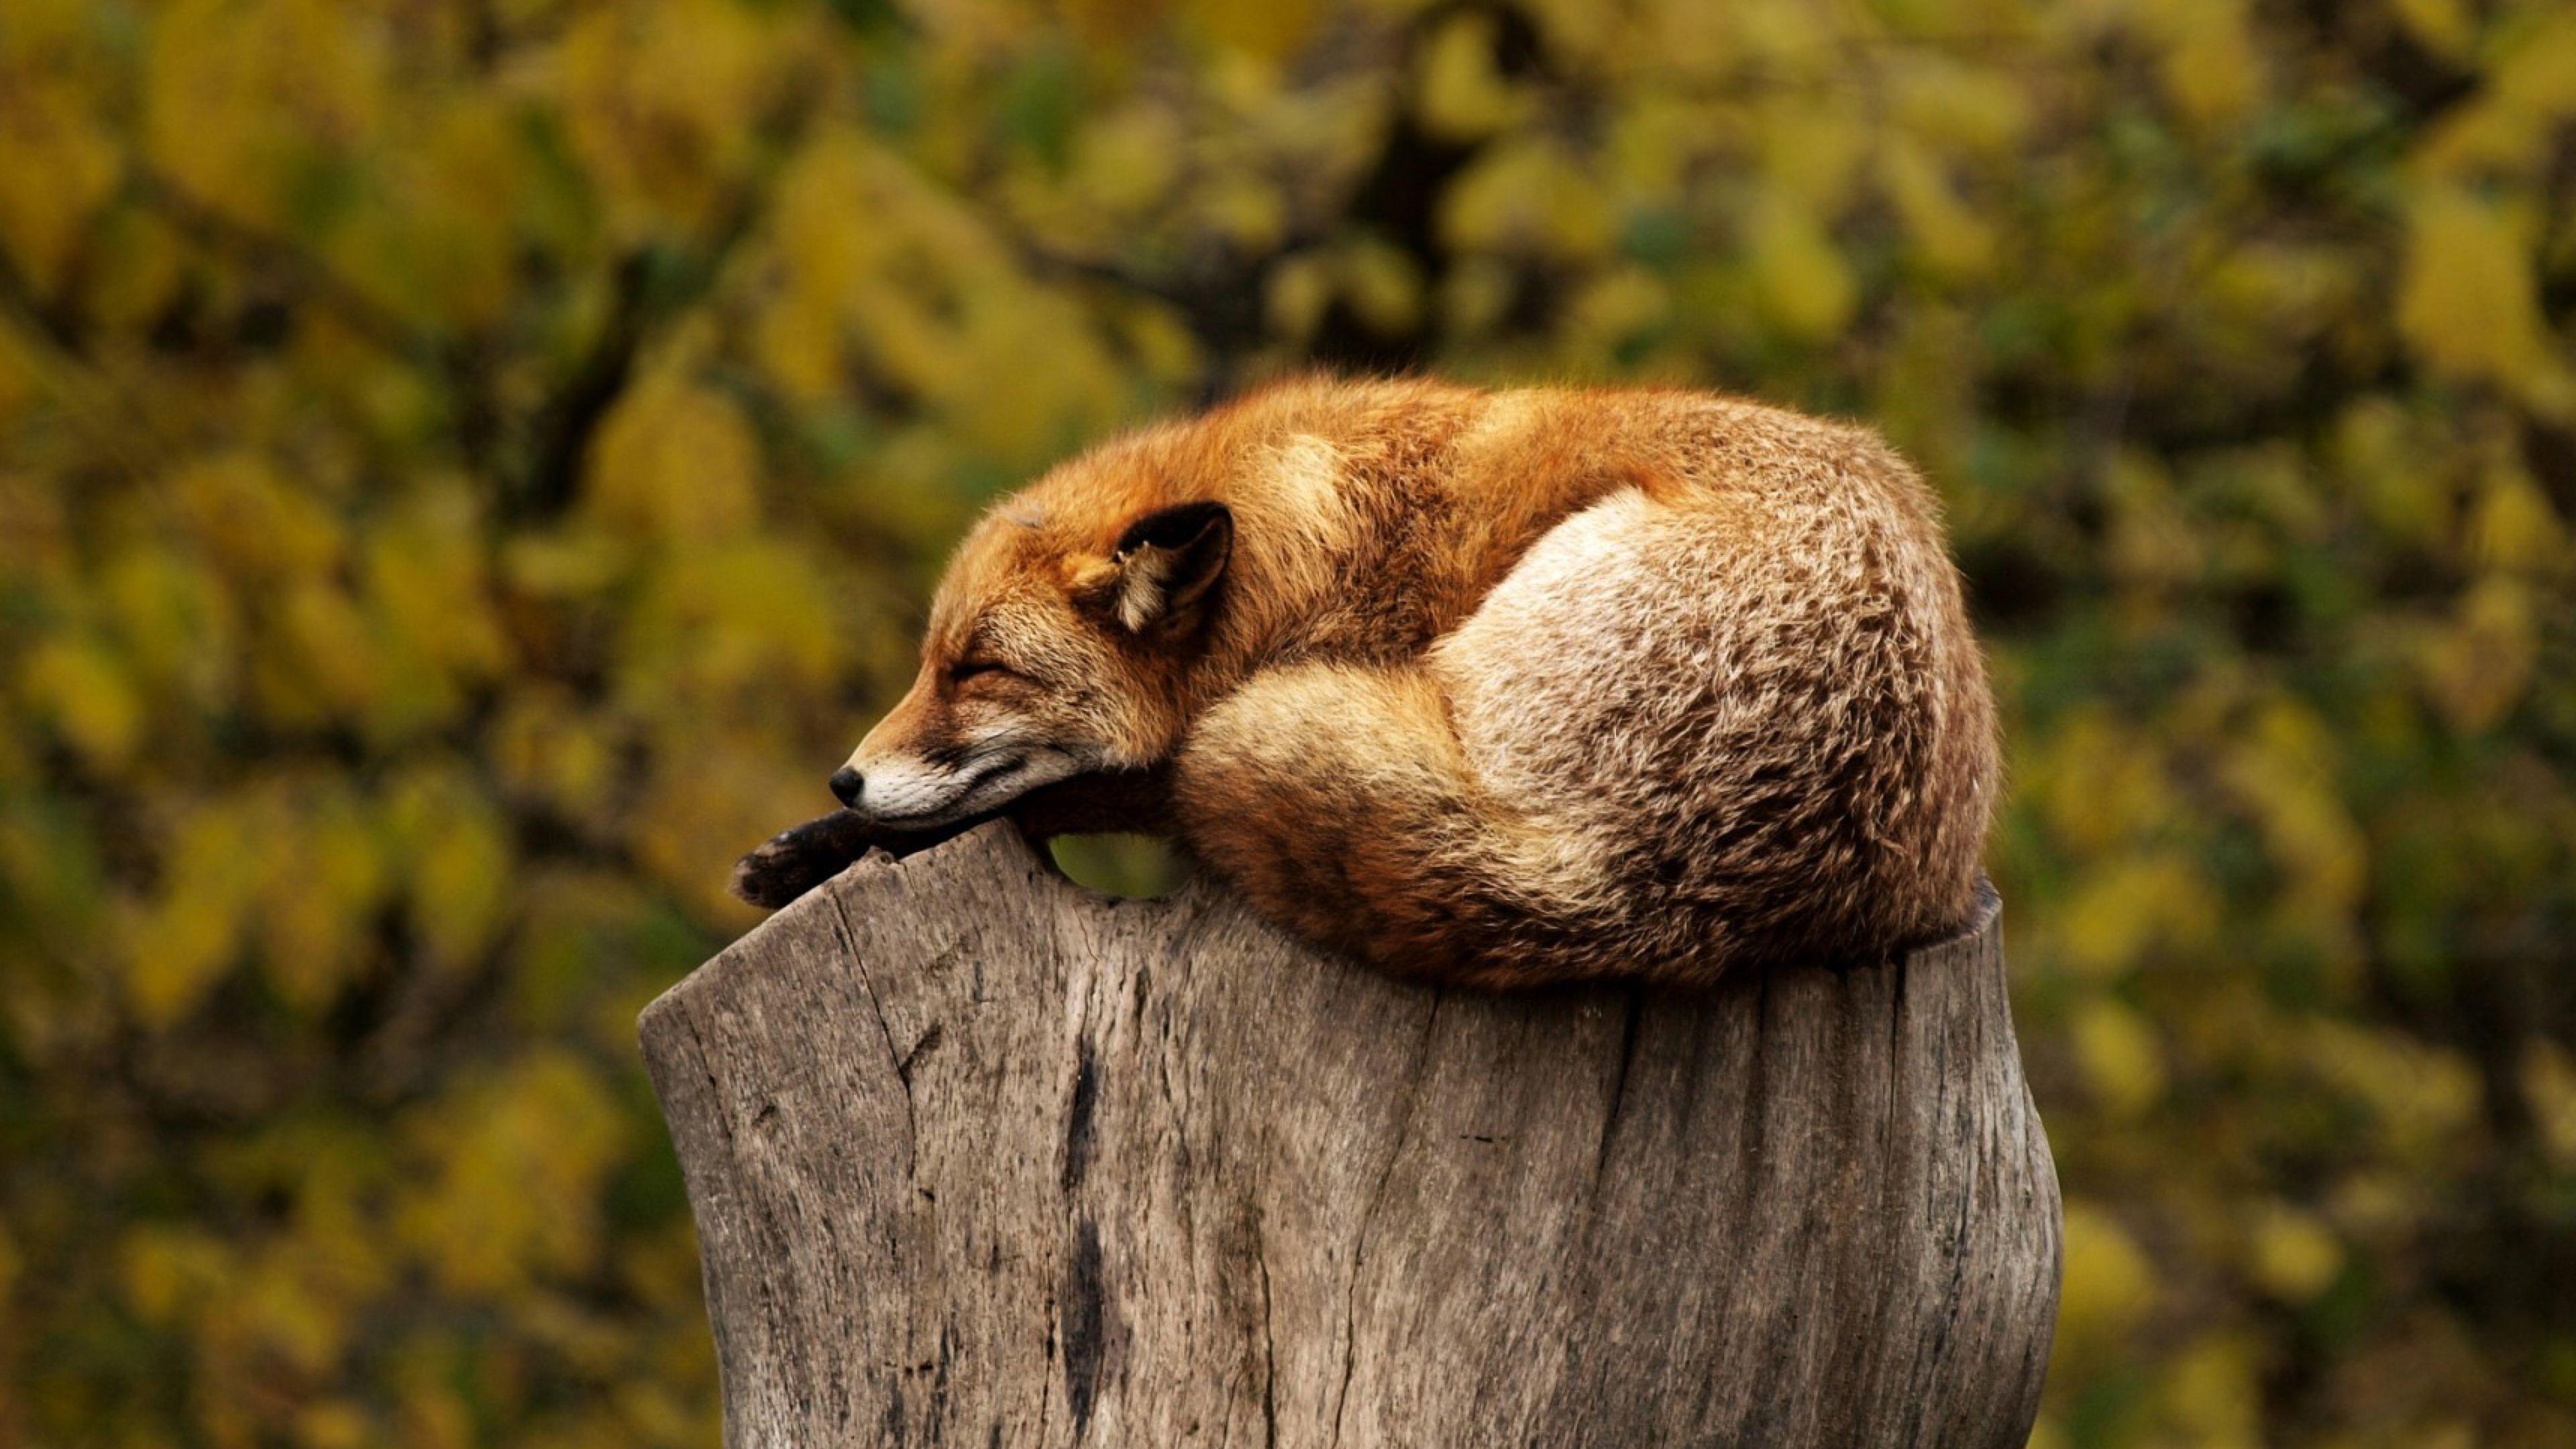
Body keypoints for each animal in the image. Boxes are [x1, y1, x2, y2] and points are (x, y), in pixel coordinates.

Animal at [732, 376, 1997, 988]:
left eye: (978, 669)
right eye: (928, 662)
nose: (844, 779)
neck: (1306, 554)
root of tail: (1633, 883)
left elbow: (1070, 792)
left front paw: (828, 845)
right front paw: (811, 846)